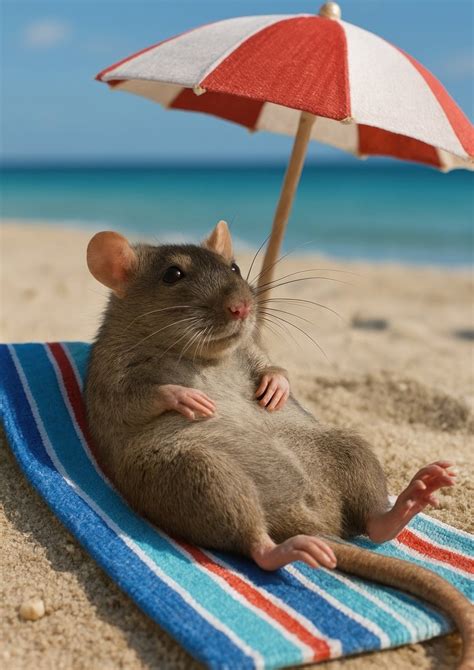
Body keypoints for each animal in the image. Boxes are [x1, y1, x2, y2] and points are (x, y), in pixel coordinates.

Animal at [85, 221, 473, 667]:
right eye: (173, 275)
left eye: (234, 267)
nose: (242, 308)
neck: (202, 354)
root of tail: (304, 520)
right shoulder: (109, 377)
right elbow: (135, 398)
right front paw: (186, 398)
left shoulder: (252, 350)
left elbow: (271, 364)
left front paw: (275, 386)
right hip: (199, 472)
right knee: (256, 544)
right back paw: (289, 549)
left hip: (341, 445)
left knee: (372, 522)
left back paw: (410, 499)